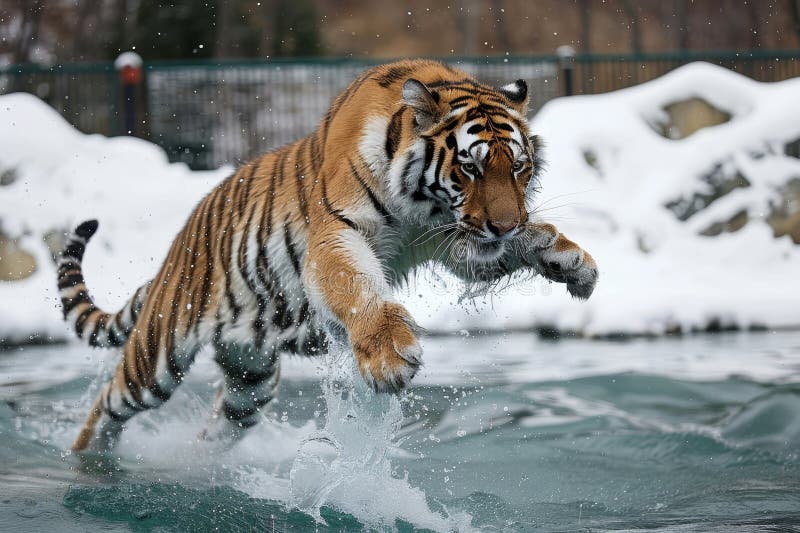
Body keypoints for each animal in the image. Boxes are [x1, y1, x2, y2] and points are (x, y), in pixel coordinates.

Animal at [57, 59, 598, 453]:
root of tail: (177, 248)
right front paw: (387, 355)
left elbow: (523, 243)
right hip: (158, 353)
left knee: (220, 425)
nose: (503, 224)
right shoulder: (338, 231)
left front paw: (571, 262)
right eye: (469, 168)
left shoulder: (454, 242)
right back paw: (89, 465)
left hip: (251, 380)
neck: (424, 208)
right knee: (108, 405)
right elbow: (354, 286)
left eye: (519, 168)